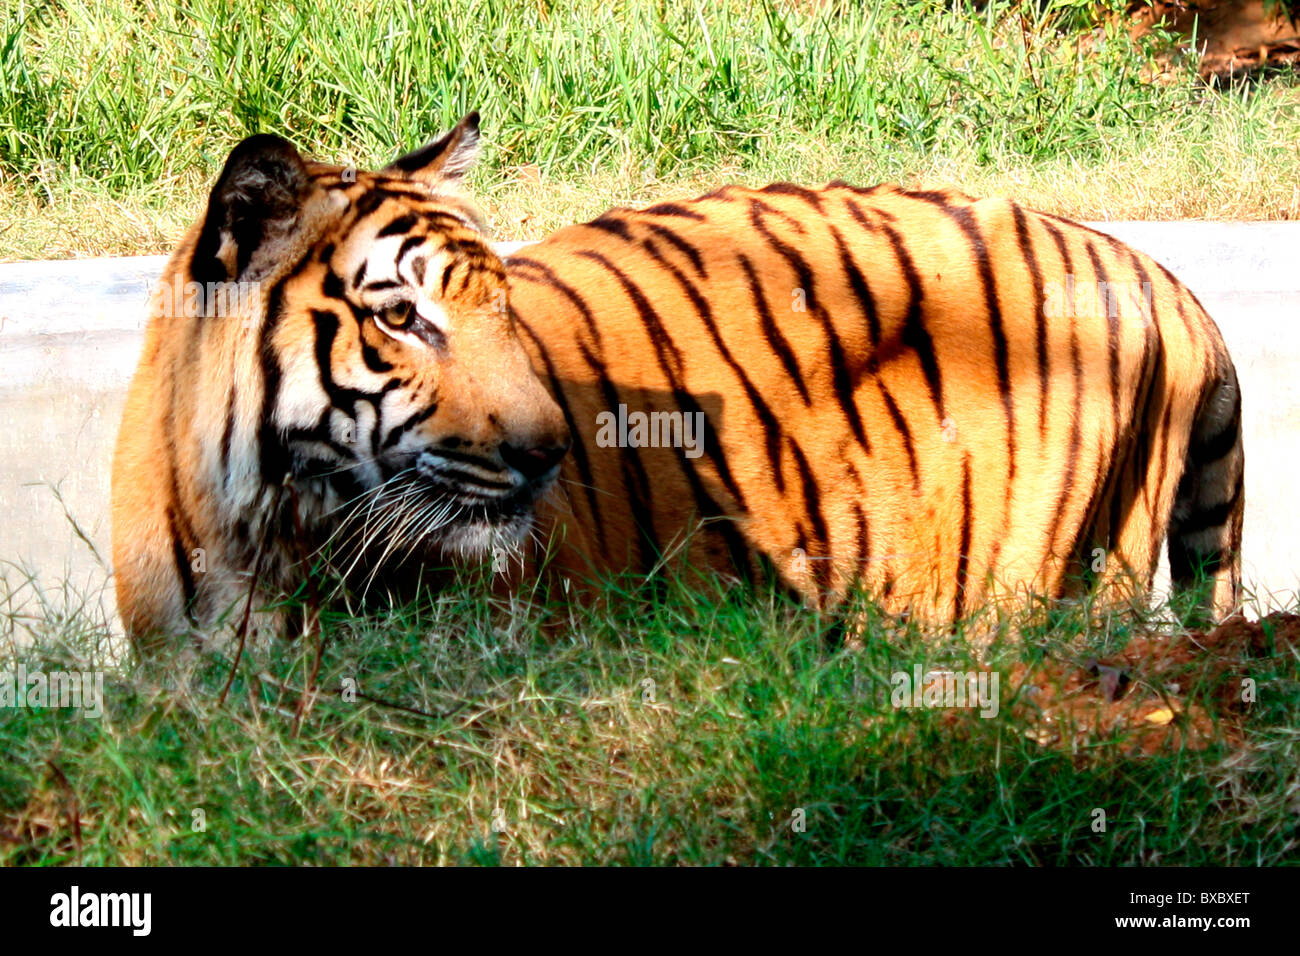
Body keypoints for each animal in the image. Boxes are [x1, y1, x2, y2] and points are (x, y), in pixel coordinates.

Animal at [111, 112, 1244, 652]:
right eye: (399, 317)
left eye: (500, 305)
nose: (548, 454)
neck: (262, 542)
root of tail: (1155, 270)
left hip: (1026, 595)